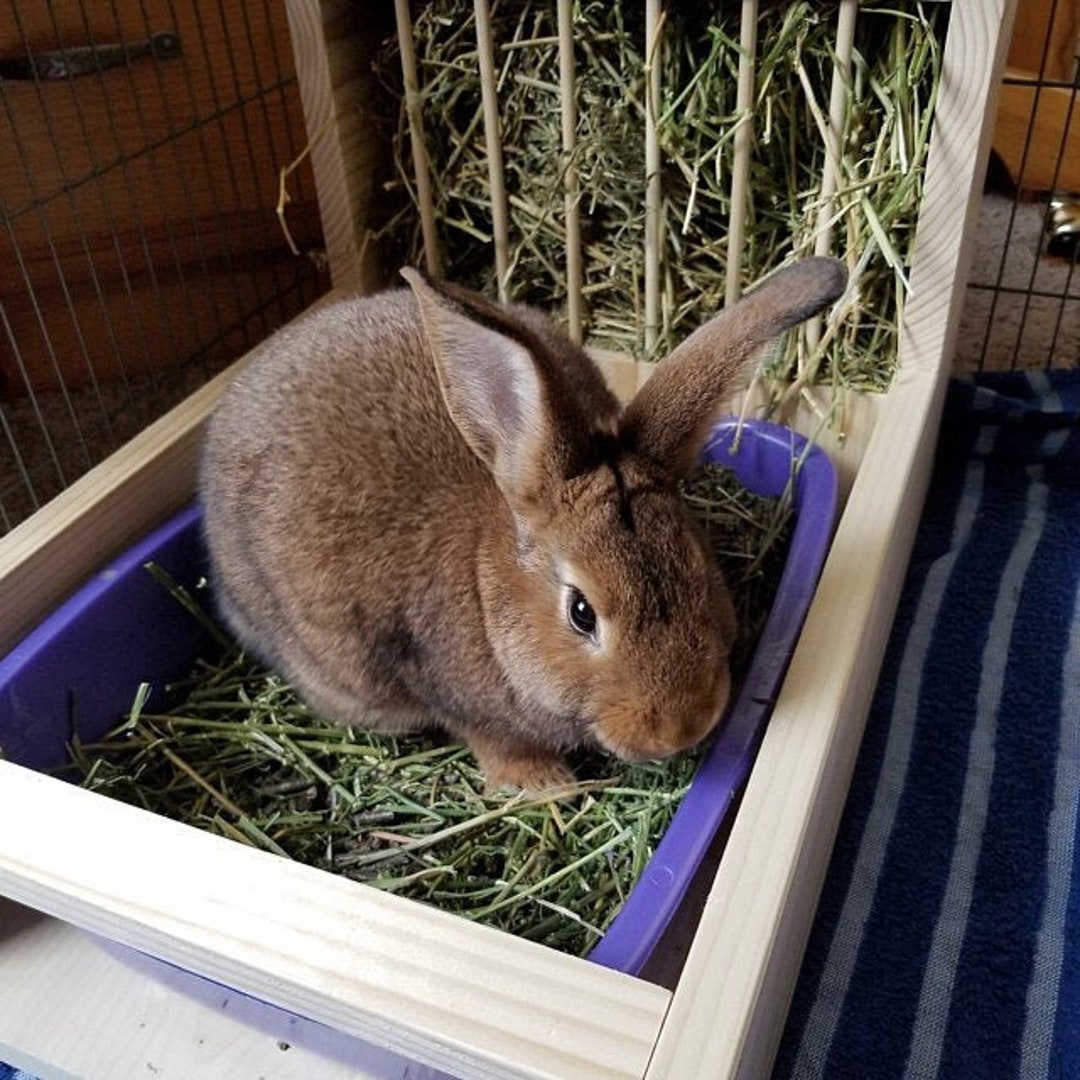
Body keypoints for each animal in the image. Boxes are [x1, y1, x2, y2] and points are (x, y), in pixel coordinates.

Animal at [199, 257, 846, 791]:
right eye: (581, 612)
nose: (678, 729)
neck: (488, 584)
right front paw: (545, 787)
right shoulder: (458, 701)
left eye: (700, 570)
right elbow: (494, 741)